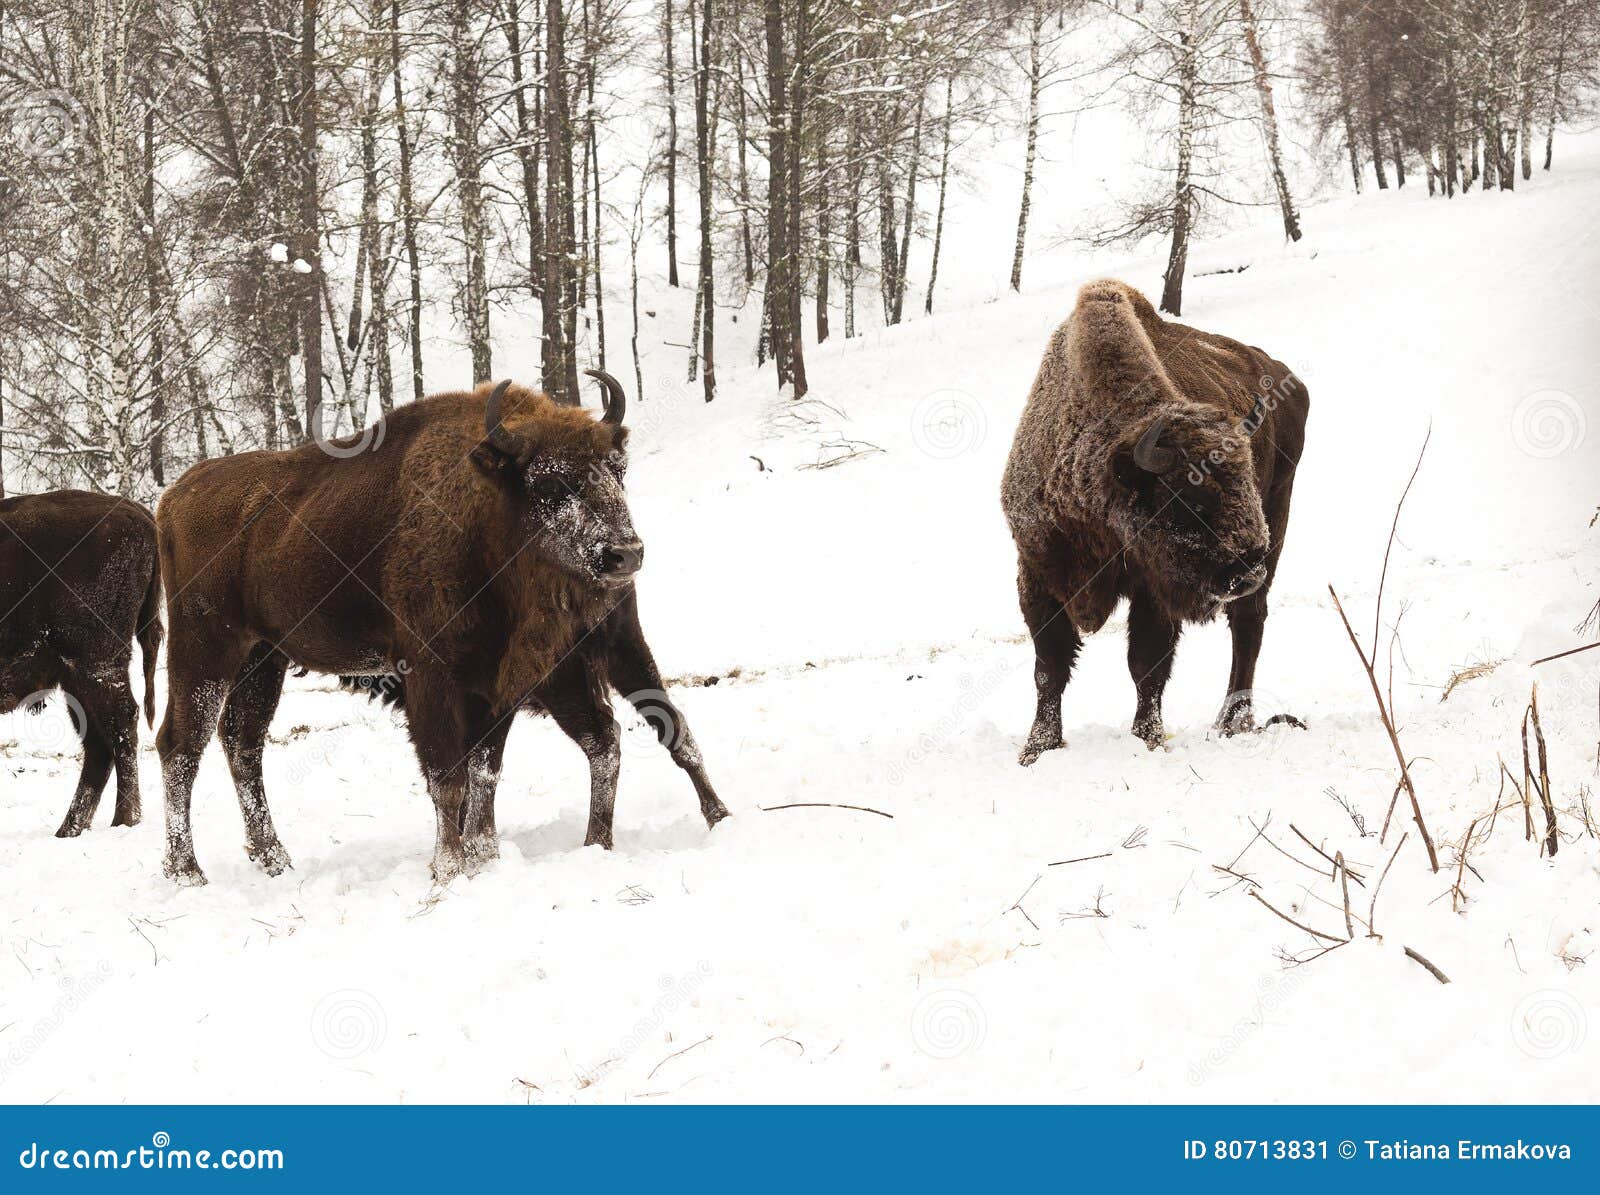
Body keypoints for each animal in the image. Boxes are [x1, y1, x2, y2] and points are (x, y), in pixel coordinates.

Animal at [1, 490, 163, 834]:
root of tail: (138, 514)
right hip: (74, 676)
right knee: (99, 742)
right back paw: (69, 830)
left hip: (95, 664)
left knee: (120, 725)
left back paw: (122, 820)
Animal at [153, 372, 729, 886]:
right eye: (548, 481)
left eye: (617, 468)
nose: (624, 555)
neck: (487, 519)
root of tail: (173, 497)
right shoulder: (433, 677)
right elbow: (447, 777)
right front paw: (450, 868)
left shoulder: (502, 681)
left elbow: (483, 769)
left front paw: (481, 855)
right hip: (205, 652)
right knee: (180, 746)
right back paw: (188, 872)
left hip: (263, 657)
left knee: (242, 742)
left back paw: (273, 859)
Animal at [1000, 278, 1309, 763]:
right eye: (1190, 501)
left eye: (1246, 485)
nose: (1246, 571)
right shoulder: (1036, 571)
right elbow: (1049, 667)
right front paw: (1037, 749)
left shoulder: (1153, 589)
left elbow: (1146, 664)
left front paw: (1147, 739)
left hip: (1279, 518)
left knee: (1247, 626)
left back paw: (1232, 723)